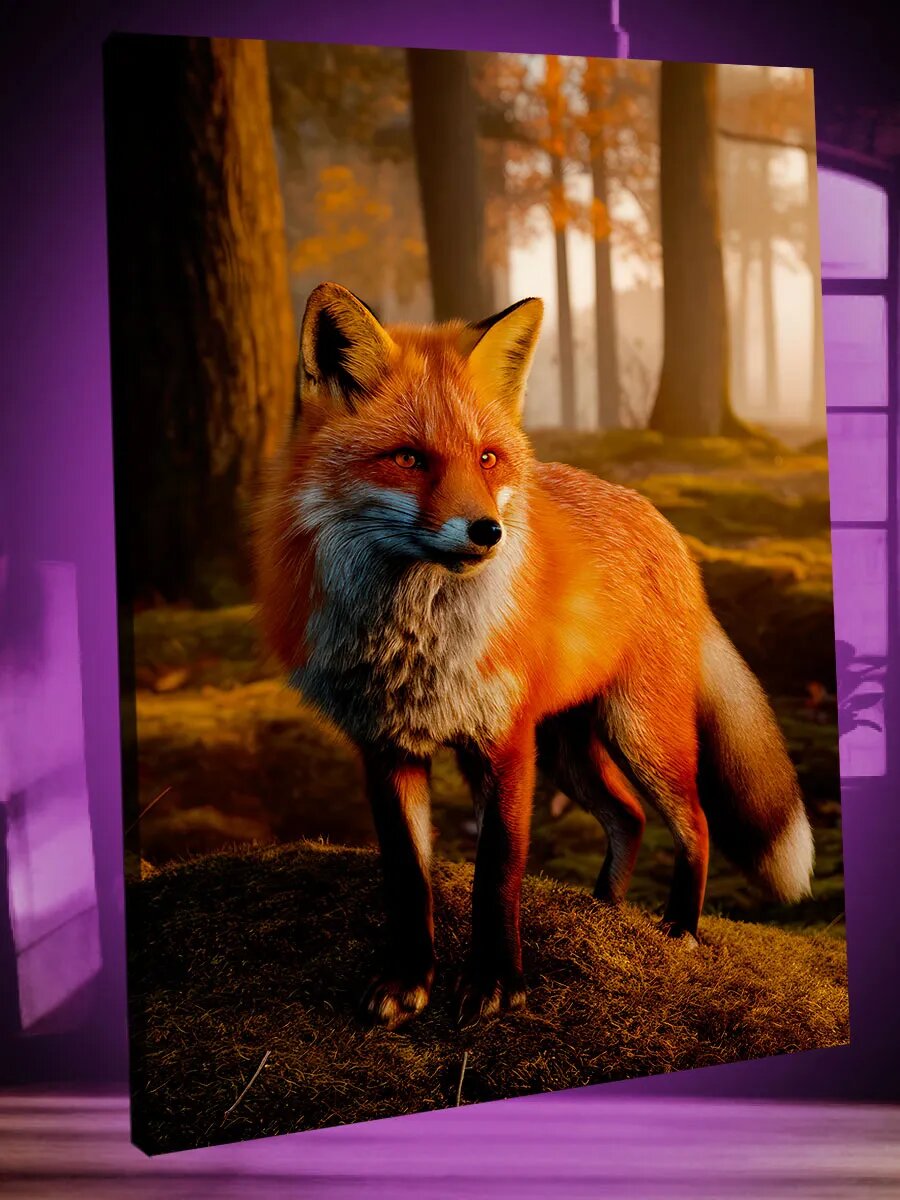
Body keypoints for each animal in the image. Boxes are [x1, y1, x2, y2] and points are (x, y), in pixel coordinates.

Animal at [254, 281, 814, 1029]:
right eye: (408, 459)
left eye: (488, 458)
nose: (487, 531)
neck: (415, 638)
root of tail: (665, 527)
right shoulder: (386, 746)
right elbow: (407, 877)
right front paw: (408, 980)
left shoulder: (506, 743)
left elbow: (498, 868)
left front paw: (496, 983)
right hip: (570, 752)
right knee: (629, 818)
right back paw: (604, 911)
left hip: (639, 735)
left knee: (693, 821)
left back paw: (679, 929)